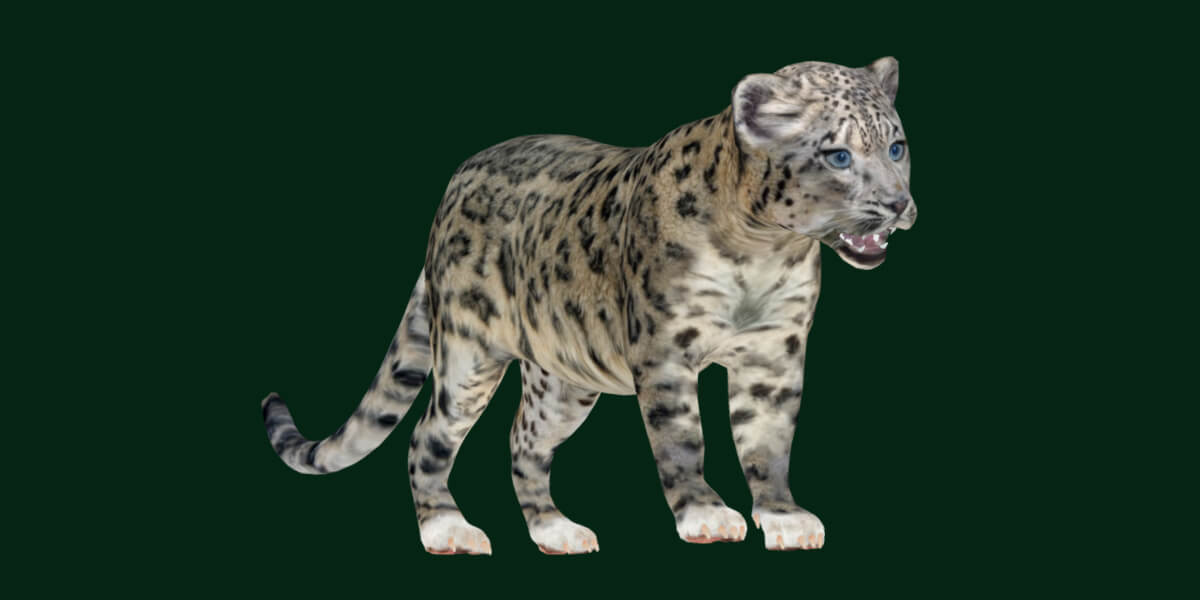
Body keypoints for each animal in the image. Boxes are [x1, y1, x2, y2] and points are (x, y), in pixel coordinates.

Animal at [262, 57, 917, 555]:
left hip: (561, 379)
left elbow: (768, 439)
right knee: (429, 435)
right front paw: (705, 513)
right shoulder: (666, 351)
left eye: (897, 147)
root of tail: (453, 185)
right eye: (838, 156)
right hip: (467, 354)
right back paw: (449, 529)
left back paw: (556, 531)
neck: (762, 253)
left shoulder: (773, 355)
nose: (898, 205)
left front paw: (783, 515)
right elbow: (683, 437)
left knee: (523, 441)